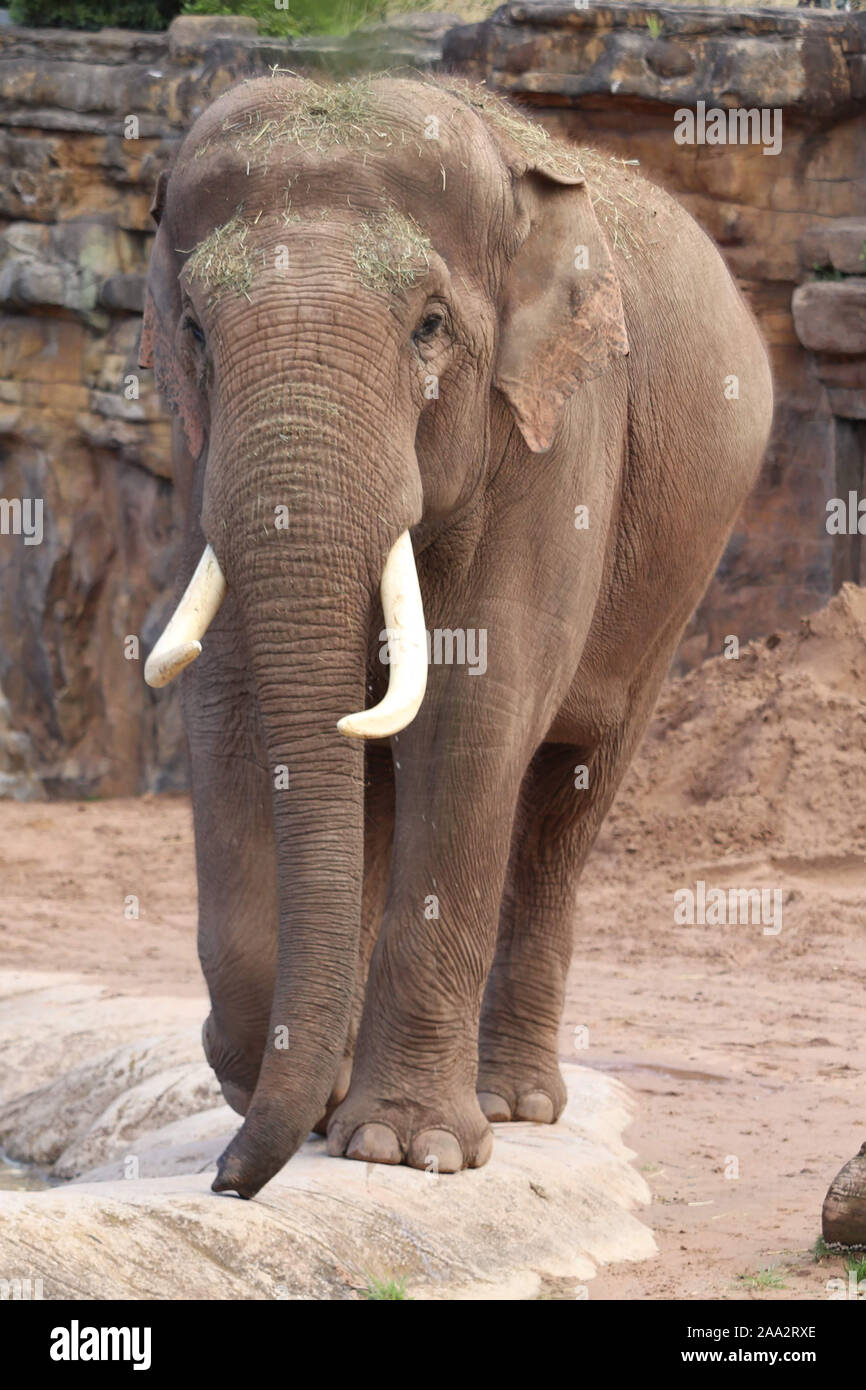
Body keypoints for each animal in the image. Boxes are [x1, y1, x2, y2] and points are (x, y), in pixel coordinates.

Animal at [139, 72, 773, 1199]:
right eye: (196, 331)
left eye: (430, 324)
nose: (226, 1182)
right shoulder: (195, 448)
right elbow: (232, 704)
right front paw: (300, 1101)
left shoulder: (559, 435)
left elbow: (474, 713)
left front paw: (408, 1150)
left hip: (679, 576)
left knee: (568, 794)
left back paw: (511, 1105)